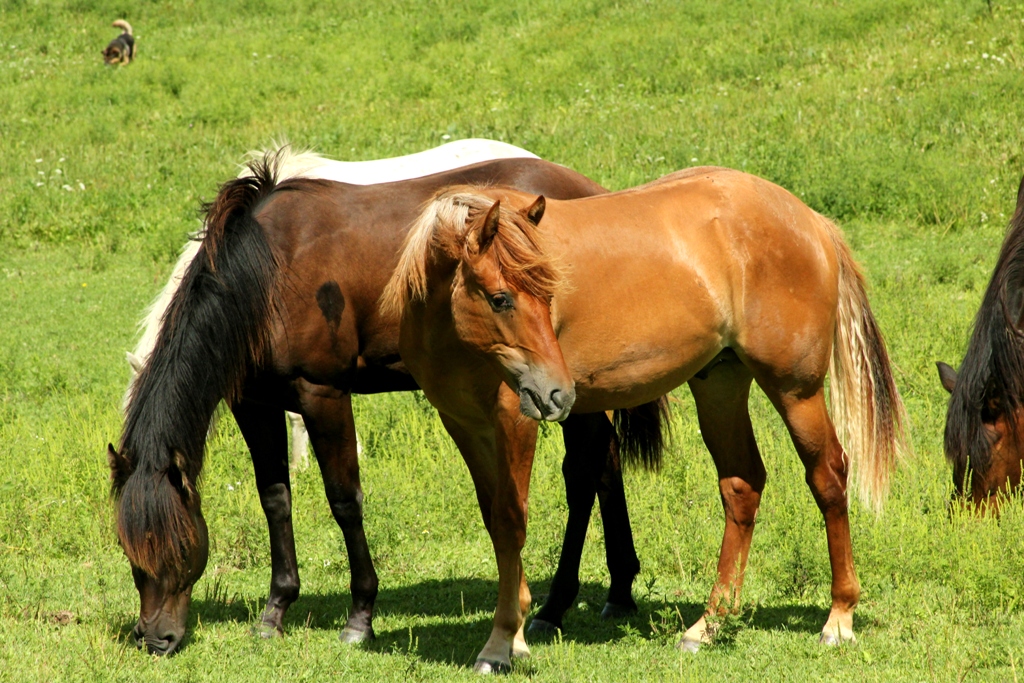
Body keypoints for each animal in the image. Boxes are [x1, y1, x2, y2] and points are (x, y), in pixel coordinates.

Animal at [382, 167, 909, 671]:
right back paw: (709, 624)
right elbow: (495, 520)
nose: (558, 392)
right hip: (720, 384)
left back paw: (839, 617)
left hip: (795, 391)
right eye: (500, 299)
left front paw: (502, 642)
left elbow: (512, 521)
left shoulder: (516, 419)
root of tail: (811, 220)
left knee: (828, 476)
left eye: (549, 296)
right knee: (742, 484)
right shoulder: (464, 425)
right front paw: (520, 627)